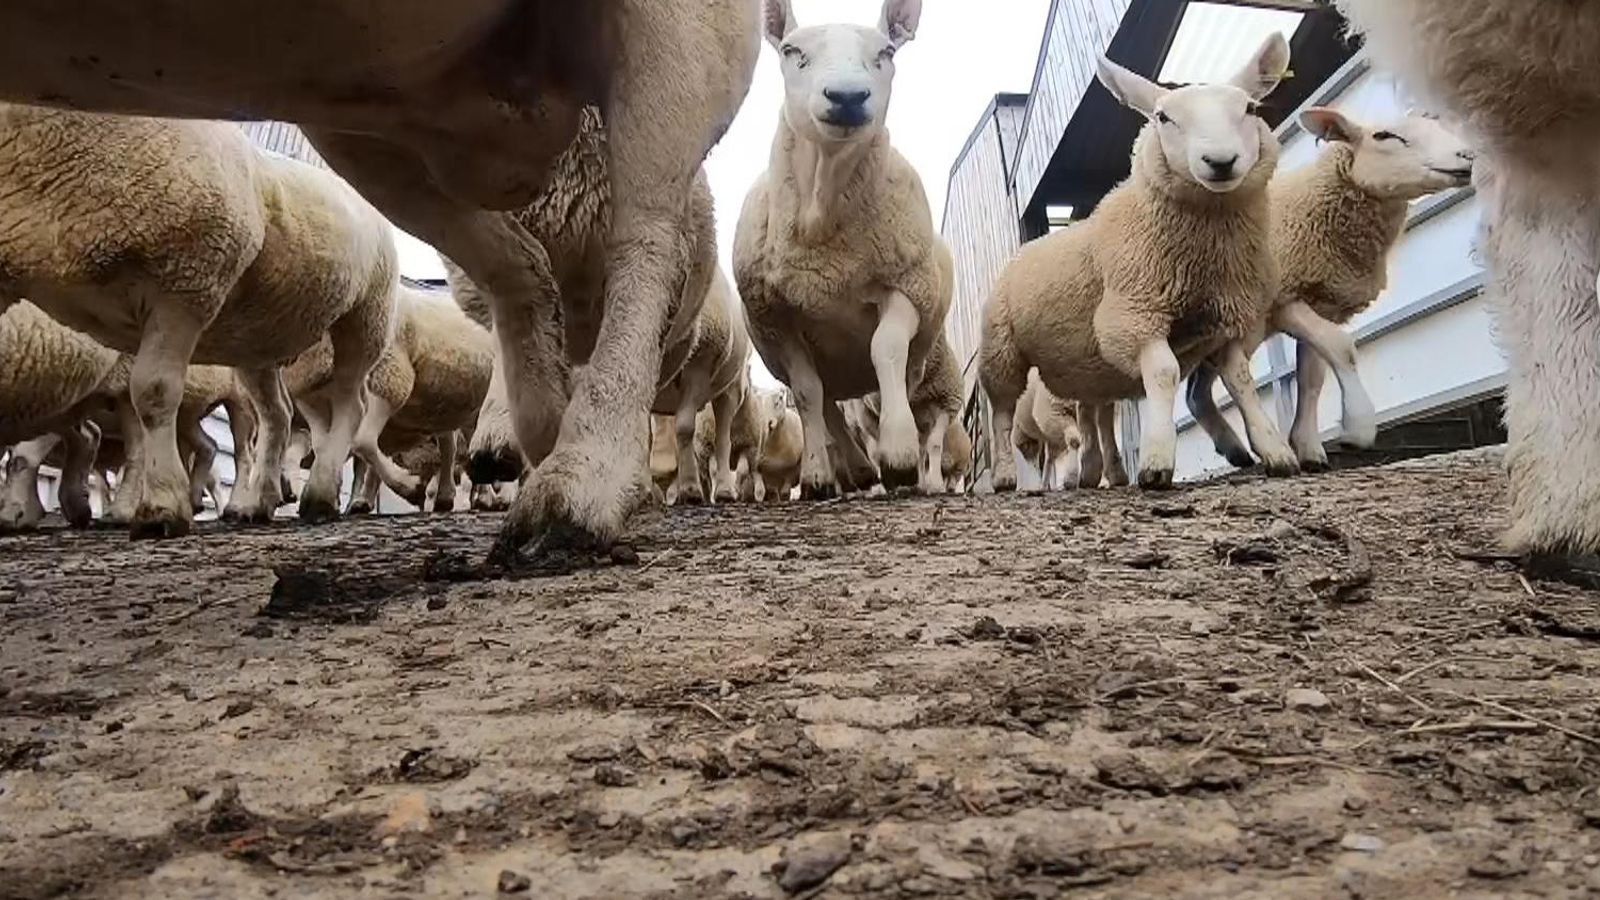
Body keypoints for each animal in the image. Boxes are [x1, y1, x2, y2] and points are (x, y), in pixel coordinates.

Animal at [0, 105, 398, 538]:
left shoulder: (186, 285)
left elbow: (154, 394)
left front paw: (162, 508)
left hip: (367, 316)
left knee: (350, 404)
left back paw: (320, 495)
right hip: (257, 337)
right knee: (276, 413)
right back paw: (257, 502)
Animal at [284, 284, 494, 515]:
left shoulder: (389, 381)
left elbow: (363, 441)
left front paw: (409, 487)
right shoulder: (311, 402)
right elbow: (329, 447)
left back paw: (482, 497)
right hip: (440, 405)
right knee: (449, 445)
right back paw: (445, 496)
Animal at [735, 0, 954, 500]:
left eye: (886, 51)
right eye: (791, 50)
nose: (848, 96)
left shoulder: (904, 285)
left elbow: (886, 350)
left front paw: (899, 454)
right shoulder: (778, 318)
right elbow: (807, 393)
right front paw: (816, 476)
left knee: (897, 379)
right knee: (829, 403)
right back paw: (853, 471)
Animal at [979, 35, 1299, 492]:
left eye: (1251, 109)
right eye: (1163, 117)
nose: (1220, 162)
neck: (1202, 259)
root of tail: (1024, 249)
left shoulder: (1232, 316)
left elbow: (1240, 379)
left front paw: (1274, 449)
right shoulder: (1134, 315)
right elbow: (1164, 373)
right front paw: (1157, 462)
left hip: (1085, 362)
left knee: (1094, 416)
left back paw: (1099, 471)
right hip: (1002, 350)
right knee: (1004, 413)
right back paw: (1008, 475)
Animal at [1187, 107, 1475, 471]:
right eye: (1384, 136)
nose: (1466, 157)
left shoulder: (1320, 301)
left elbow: (1313, 376)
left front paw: (1308, 447)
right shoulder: (1286, 297)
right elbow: (1342, 348)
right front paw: (1358, 428)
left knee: (1197, 392)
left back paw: (1236, 448)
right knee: (1231, 370)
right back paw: (1271, 448)